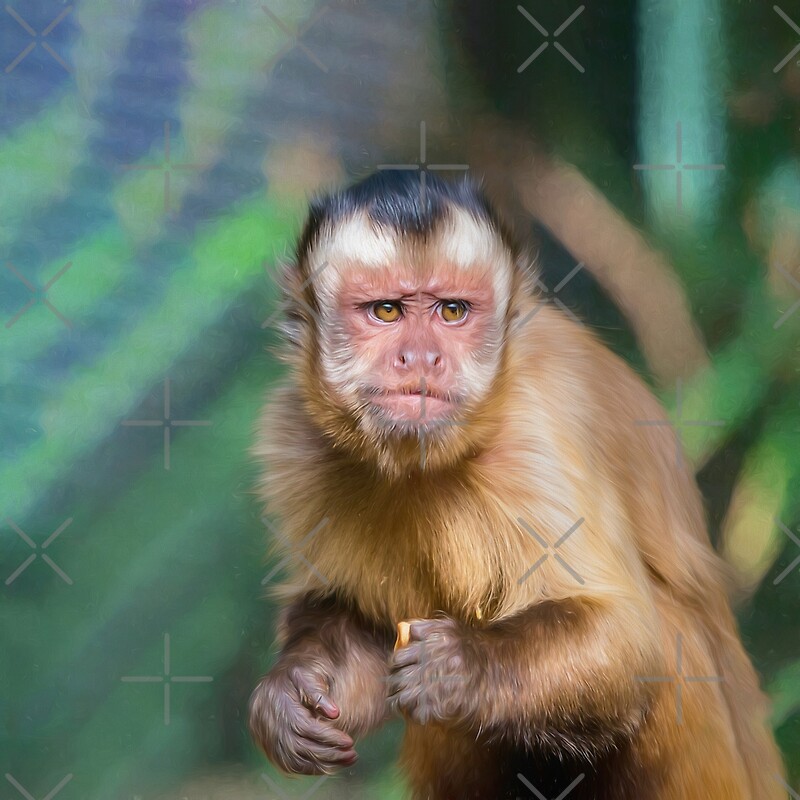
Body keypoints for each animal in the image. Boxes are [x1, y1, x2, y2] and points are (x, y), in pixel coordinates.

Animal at [248, 170, 785, 799]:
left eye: (453, 311)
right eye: (385, 311)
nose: (422, 358)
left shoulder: (538, 430)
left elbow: (627, 642)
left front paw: (458, 669)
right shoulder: (294, 438)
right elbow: (362, 626)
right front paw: (288, 694)